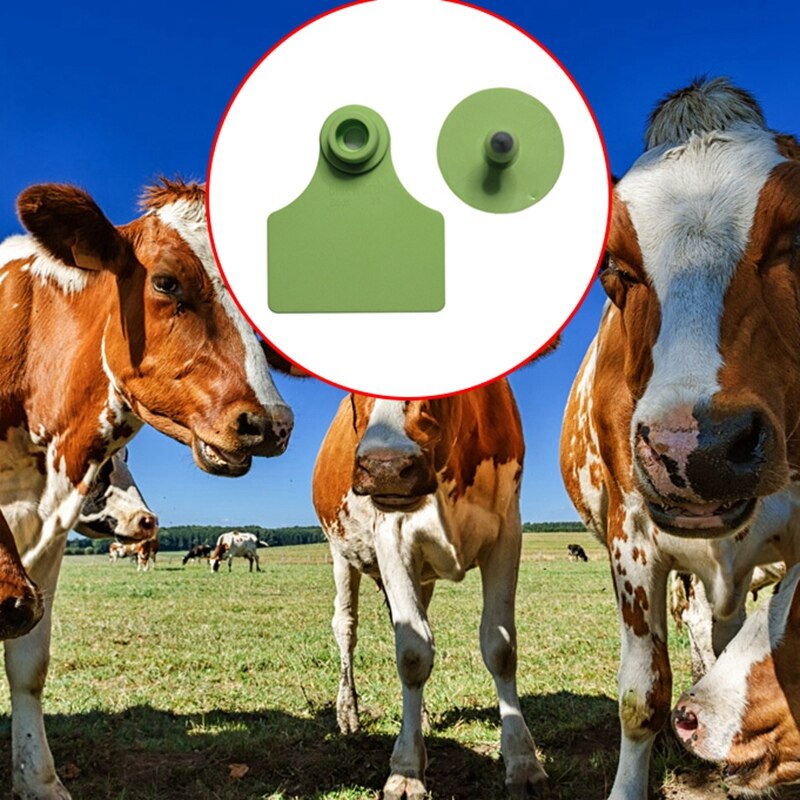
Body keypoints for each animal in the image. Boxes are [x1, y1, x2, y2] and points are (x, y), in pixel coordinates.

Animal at [312, 383, 548, 800]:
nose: (386, 467)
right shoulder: (391, 535)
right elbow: (412, 654)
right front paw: (406, 771)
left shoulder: (507, 532)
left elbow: (501, 649)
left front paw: (523, 761)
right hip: (340, 551)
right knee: (346, 626)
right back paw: (348, 713)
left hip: (421, 578)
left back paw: (418, 716)